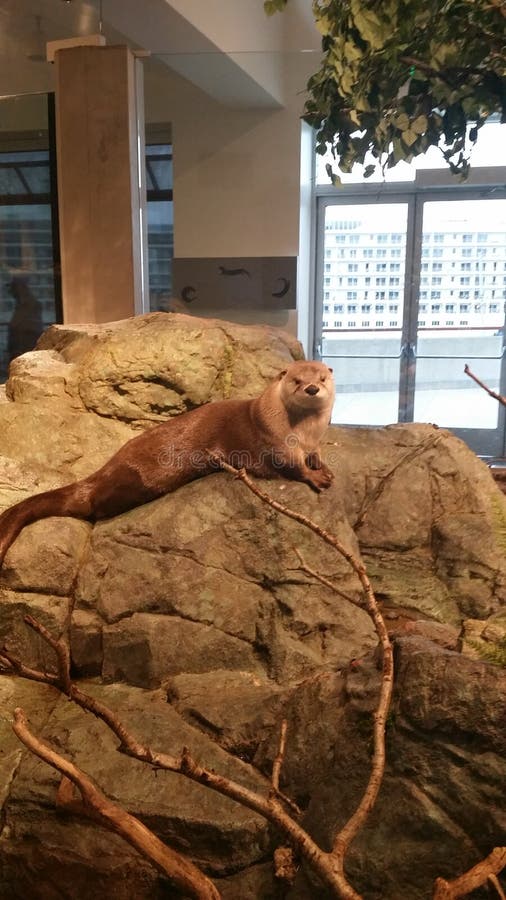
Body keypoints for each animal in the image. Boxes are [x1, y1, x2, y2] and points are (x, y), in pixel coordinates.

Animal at [0, 361, 335, 566]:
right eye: (296, 380)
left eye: (322, 377)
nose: (312, 388)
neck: (304, 433)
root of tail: (103, 471)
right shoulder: (275, 444)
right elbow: (292, 467)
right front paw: (316, 477)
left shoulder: (312, 443)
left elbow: (316, 455)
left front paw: (324, 466)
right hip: (133, 481)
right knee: (93, 504)